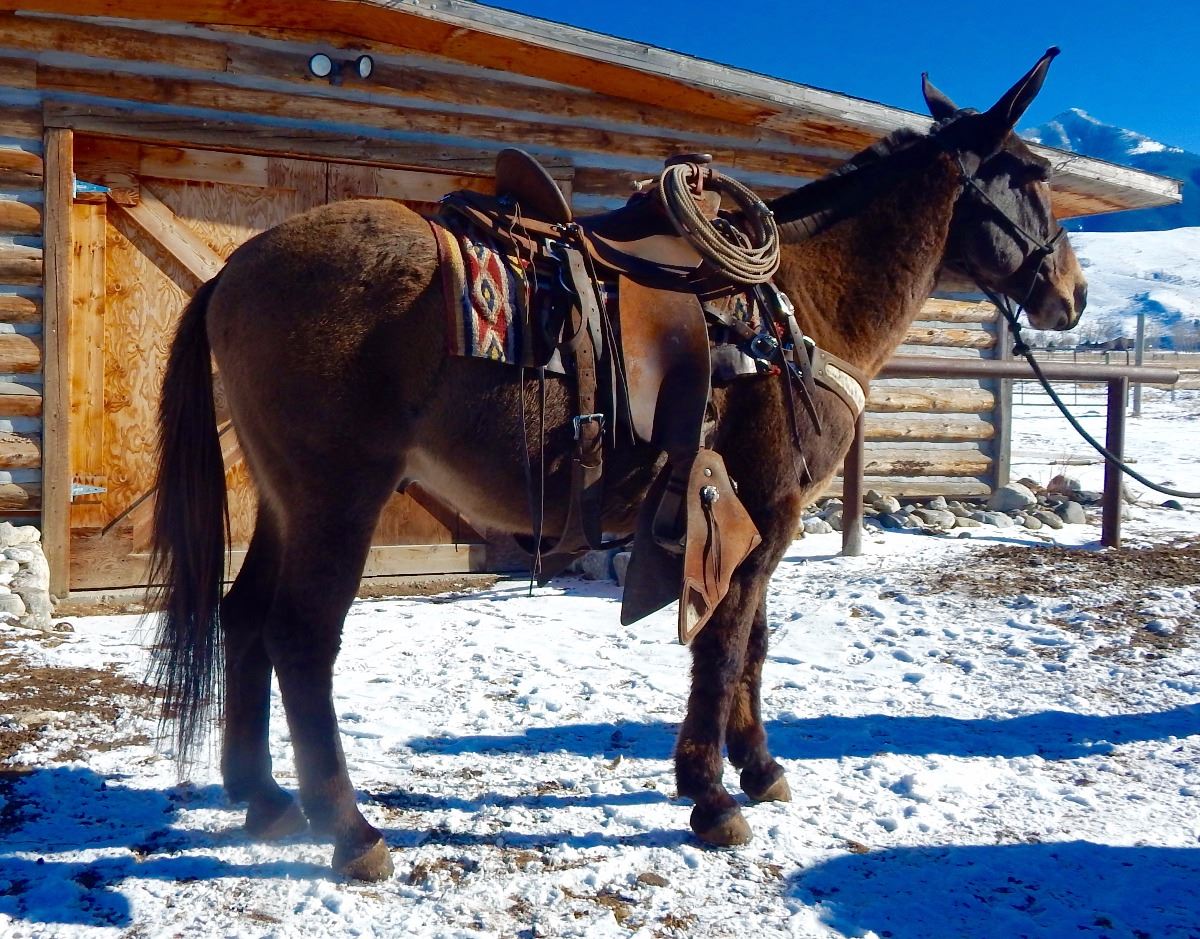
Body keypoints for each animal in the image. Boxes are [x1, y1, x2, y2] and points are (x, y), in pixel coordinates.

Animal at [148, 48, 1086, 881]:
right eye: (1035, 173)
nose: (1072, 295)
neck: (798, 310)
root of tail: (236, 267)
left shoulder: (764, 524)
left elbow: (754, 641)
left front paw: (758, 765)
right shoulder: (765, 509)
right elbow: (725, 643)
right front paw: (711, 795)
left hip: (284, 496)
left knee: (244, 615)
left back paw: (264, 796)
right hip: (340, 494)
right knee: (301, 637)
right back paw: (350, 830)